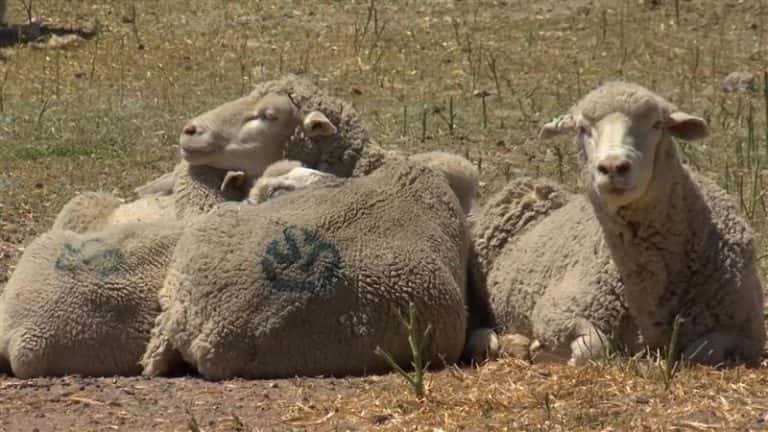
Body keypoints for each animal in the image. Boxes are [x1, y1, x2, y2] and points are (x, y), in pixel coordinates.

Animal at [474, 81, 765, 366]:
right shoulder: (555, 311)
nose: (613, 167)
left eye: (657, 124)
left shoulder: (746, 332)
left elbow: (702, 352)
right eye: (582, 129)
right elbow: (595, 346)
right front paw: (541, 349)